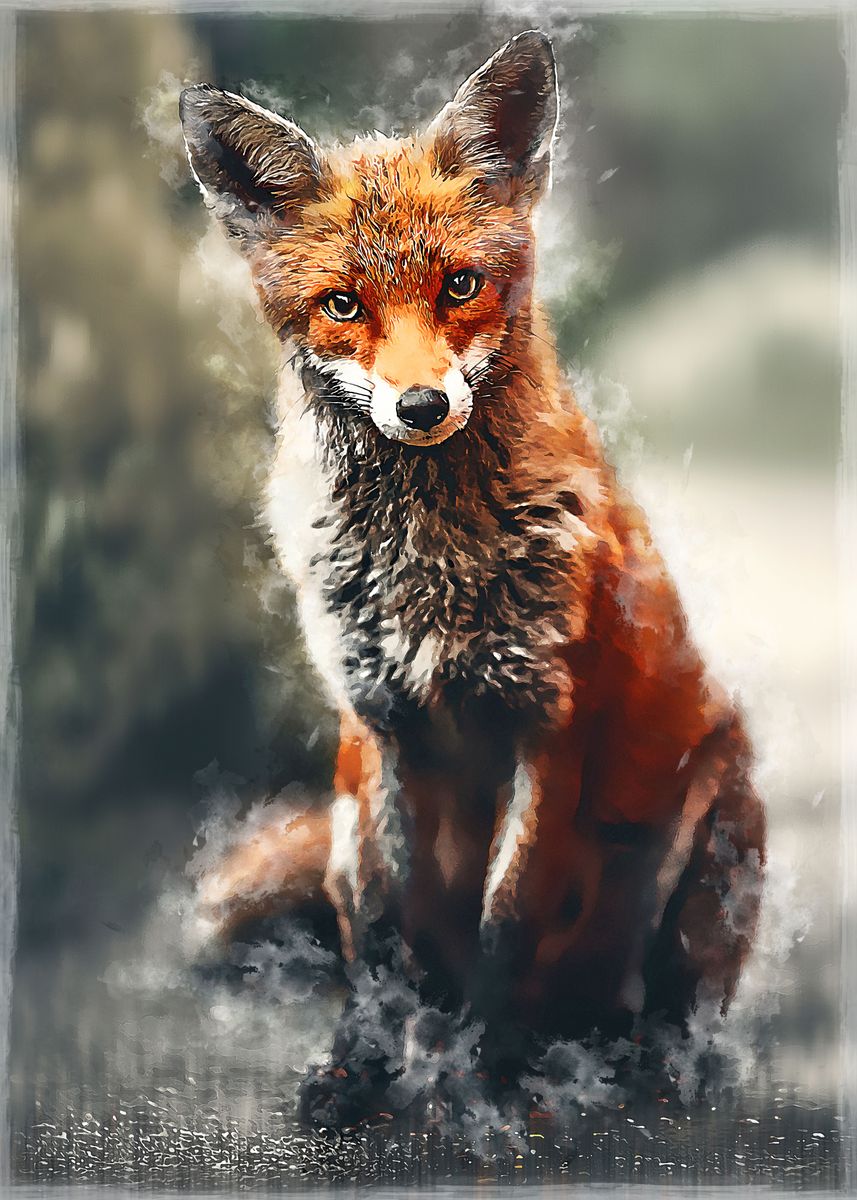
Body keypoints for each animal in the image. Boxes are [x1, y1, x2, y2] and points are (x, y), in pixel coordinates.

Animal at [179, 30, 766, 1125]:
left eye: (457, 286)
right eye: (343, 305)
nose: (419, 406)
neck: (428, 571)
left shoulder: (548, 724)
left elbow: (509, 920)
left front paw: (484, 1086)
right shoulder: (374, 728)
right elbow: (380, 936)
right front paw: (361, 1067)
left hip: (720, 827)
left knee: (671, 999)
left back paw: (642, 1062)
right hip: (340, 819)